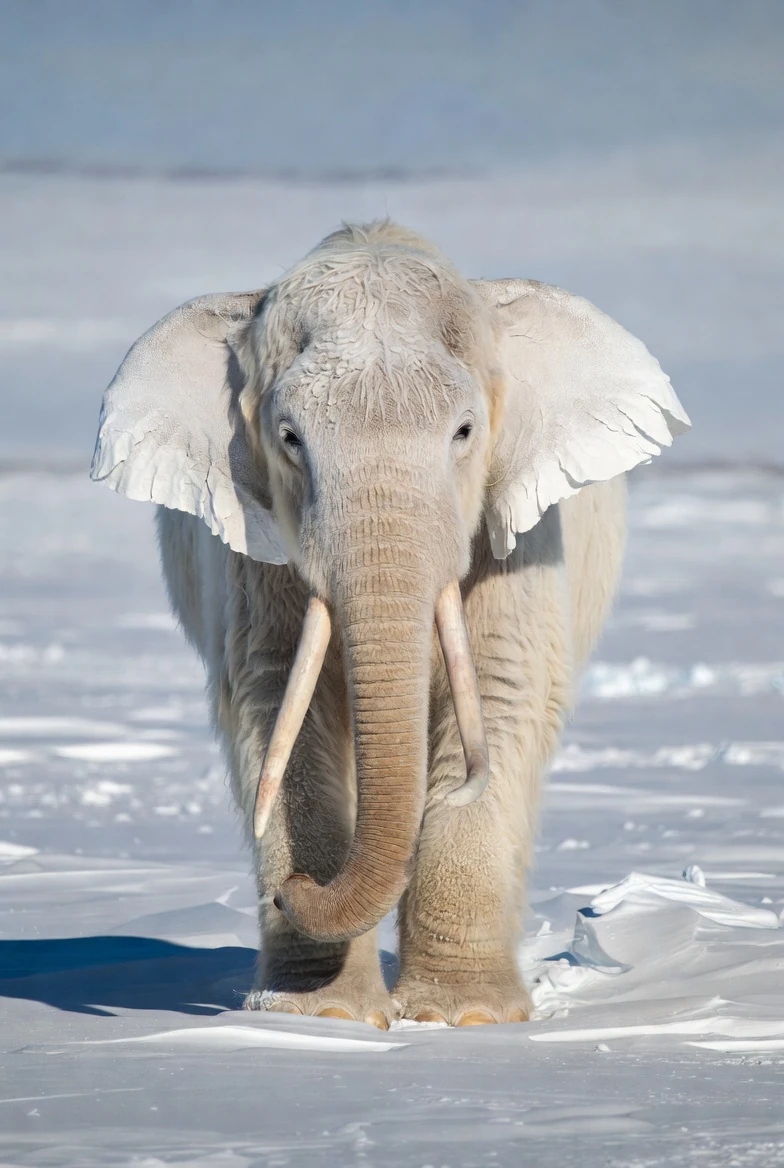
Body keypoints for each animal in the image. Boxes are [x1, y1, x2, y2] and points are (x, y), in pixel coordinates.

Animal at [92, 221, 689, 1028]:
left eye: (465, 432)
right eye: (289, 438)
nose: (292, 892)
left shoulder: (518, 541)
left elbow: (502, 688)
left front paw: (463, 1019)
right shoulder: (257, 552)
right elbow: (278, 701)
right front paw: (316, 1017)